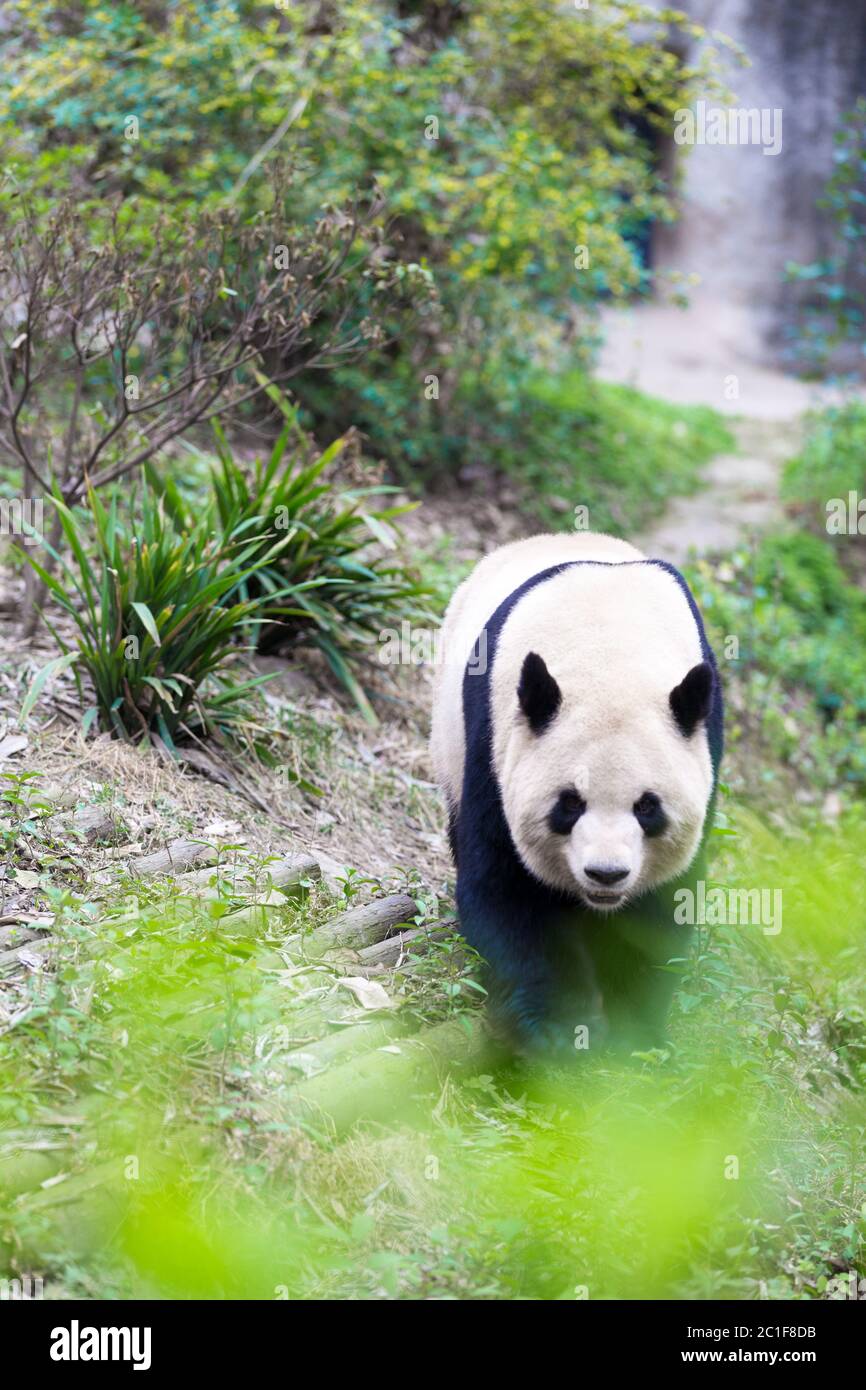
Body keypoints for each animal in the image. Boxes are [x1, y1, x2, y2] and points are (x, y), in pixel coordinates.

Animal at [430, 532, 723, 1056]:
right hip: (449, 739)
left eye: (647, 807)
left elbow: (662, 906)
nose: (606, 874)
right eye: (569, 804)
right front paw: (561, 1030)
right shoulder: (495, 745)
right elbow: (508, 888)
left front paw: (635, 1035)